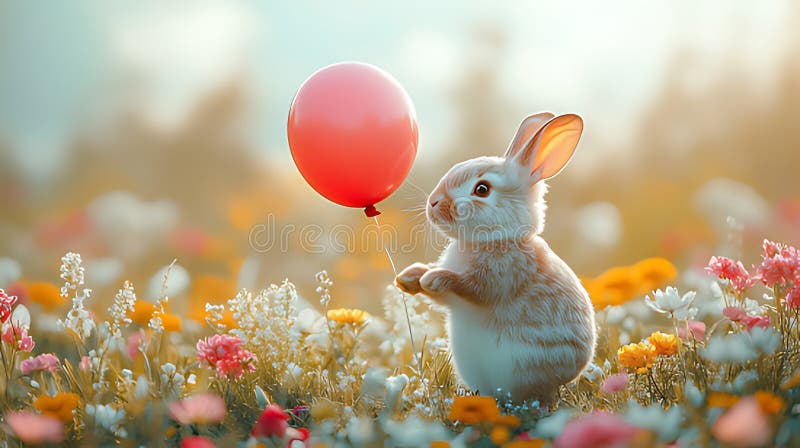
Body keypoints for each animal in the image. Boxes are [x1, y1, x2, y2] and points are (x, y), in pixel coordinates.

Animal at [395, 112, 596, 406]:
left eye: (482, 189)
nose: (432, 203)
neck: (493, 239)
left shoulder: (502, 276)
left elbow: (472, 287)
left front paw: (434, 277)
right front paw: (410, 276)